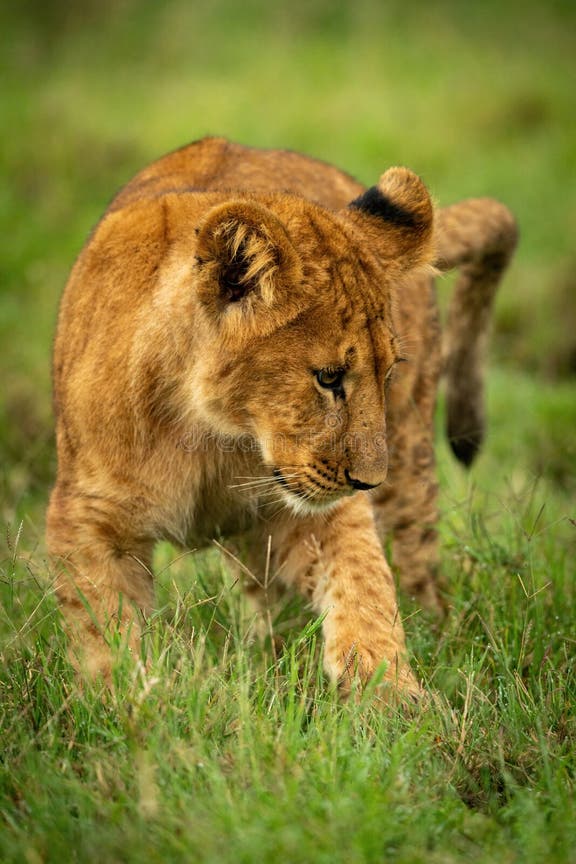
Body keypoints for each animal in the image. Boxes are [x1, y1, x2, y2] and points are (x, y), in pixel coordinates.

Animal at [46, 136, 517, 701]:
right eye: (329, 378)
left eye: (386, 372)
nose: (368, 482)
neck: (206, 433)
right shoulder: (88, 519)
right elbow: (105, 636)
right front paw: (128, 704)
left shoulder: (314, 508)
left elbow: (364, 581)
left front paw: (388, 692)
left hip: (408, 469)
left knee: (418, 569)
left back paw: (435, 635)